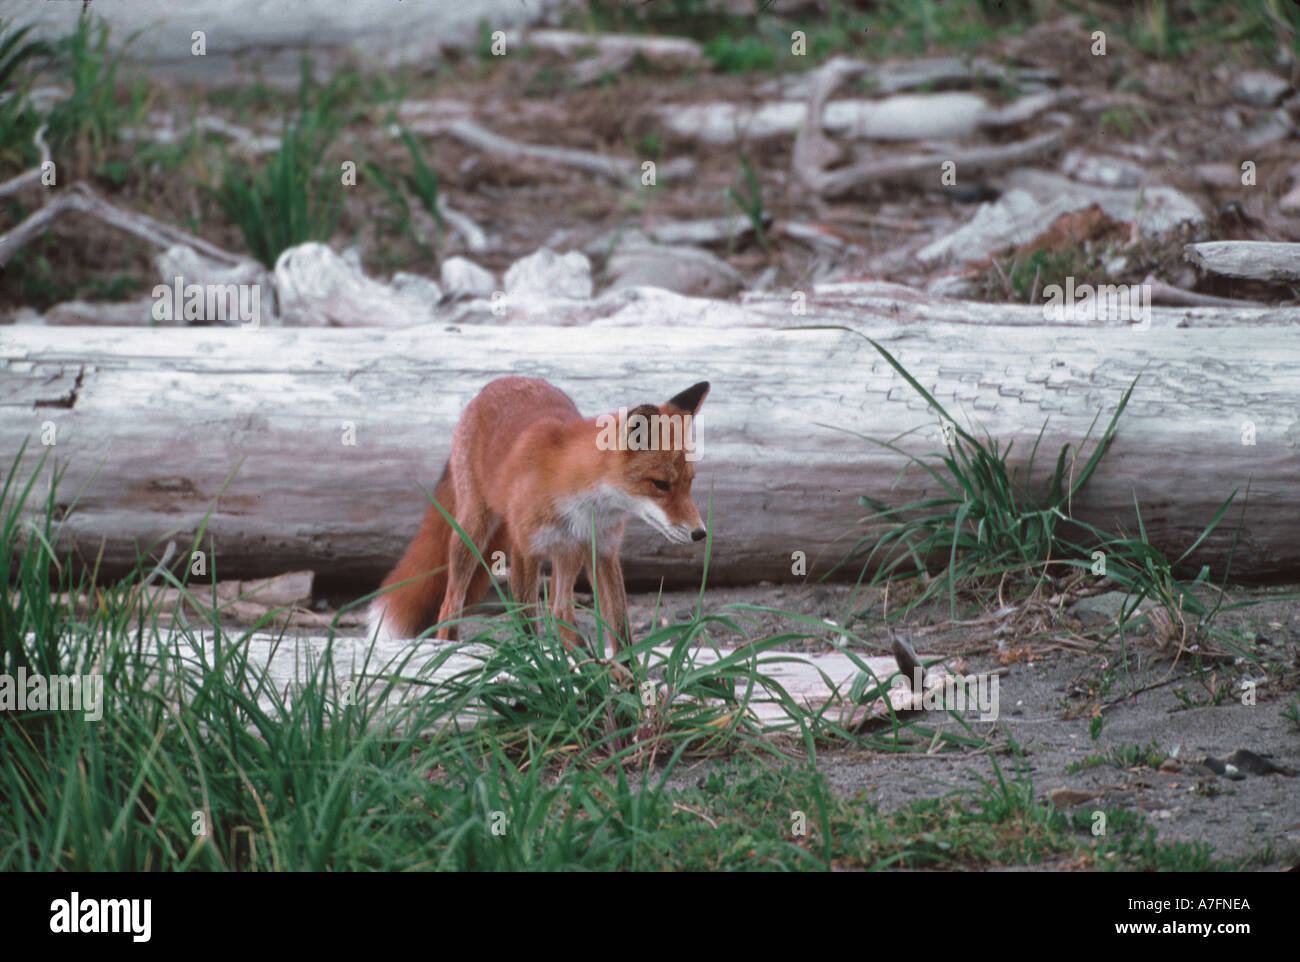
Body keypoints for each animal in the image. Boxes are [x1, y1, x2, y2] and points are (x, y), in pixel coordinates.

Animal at [368, 376, 710, 651]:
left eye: (691, 482)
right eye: (661, 485)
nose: (700, 533)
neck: (581, 498)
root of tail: (498, 382)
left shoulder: (603, 550)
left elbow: (620, 628)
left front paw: (630, 684)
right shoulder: (525, 549)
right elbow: (527, 626)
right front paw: (537, 671)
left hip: (569, 552)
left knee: (559, 612)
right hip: (472, 532)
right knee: (449, 604)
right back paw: (448, 648)